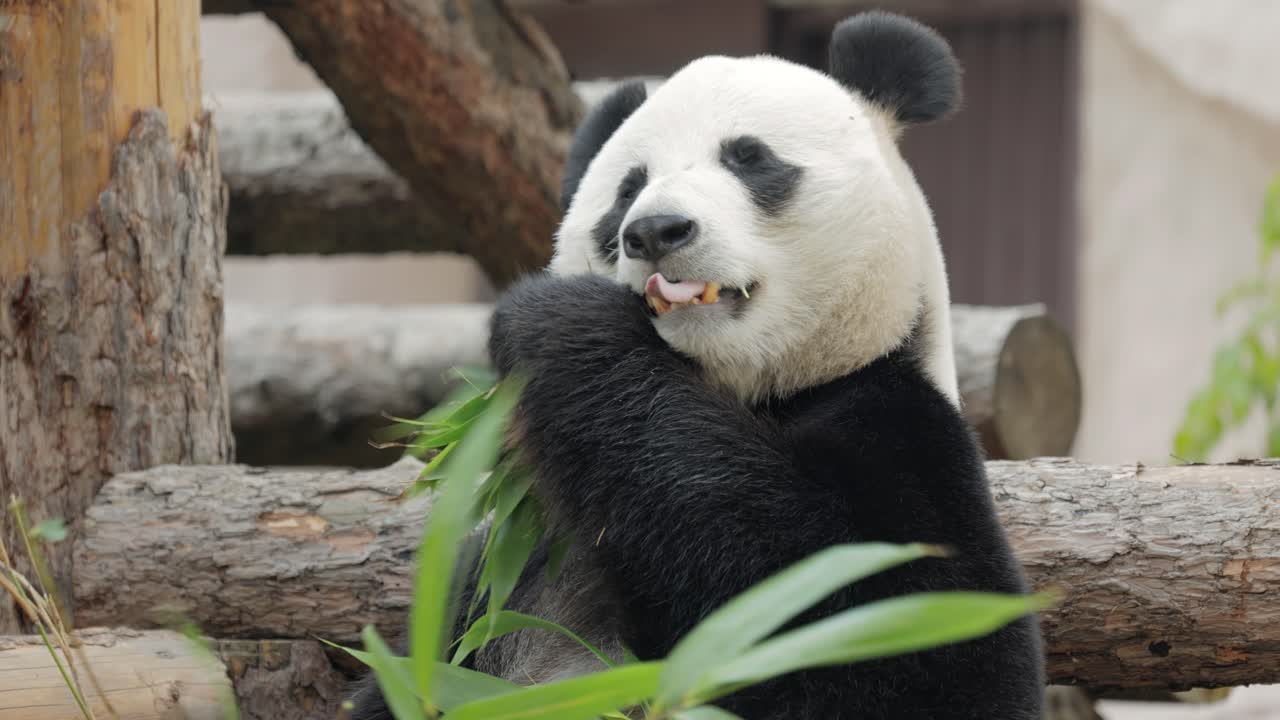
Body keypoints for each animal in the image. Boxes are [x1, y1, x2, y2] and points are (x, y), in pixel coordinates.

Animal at [350, 10, 1044, 719]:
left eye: (749, 158)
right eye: (628, 188)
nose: (656, 230)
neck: (741, 387)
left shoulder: (899, 424)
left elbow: (898, 640)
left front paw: (562, 323)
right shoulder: (503, 570)